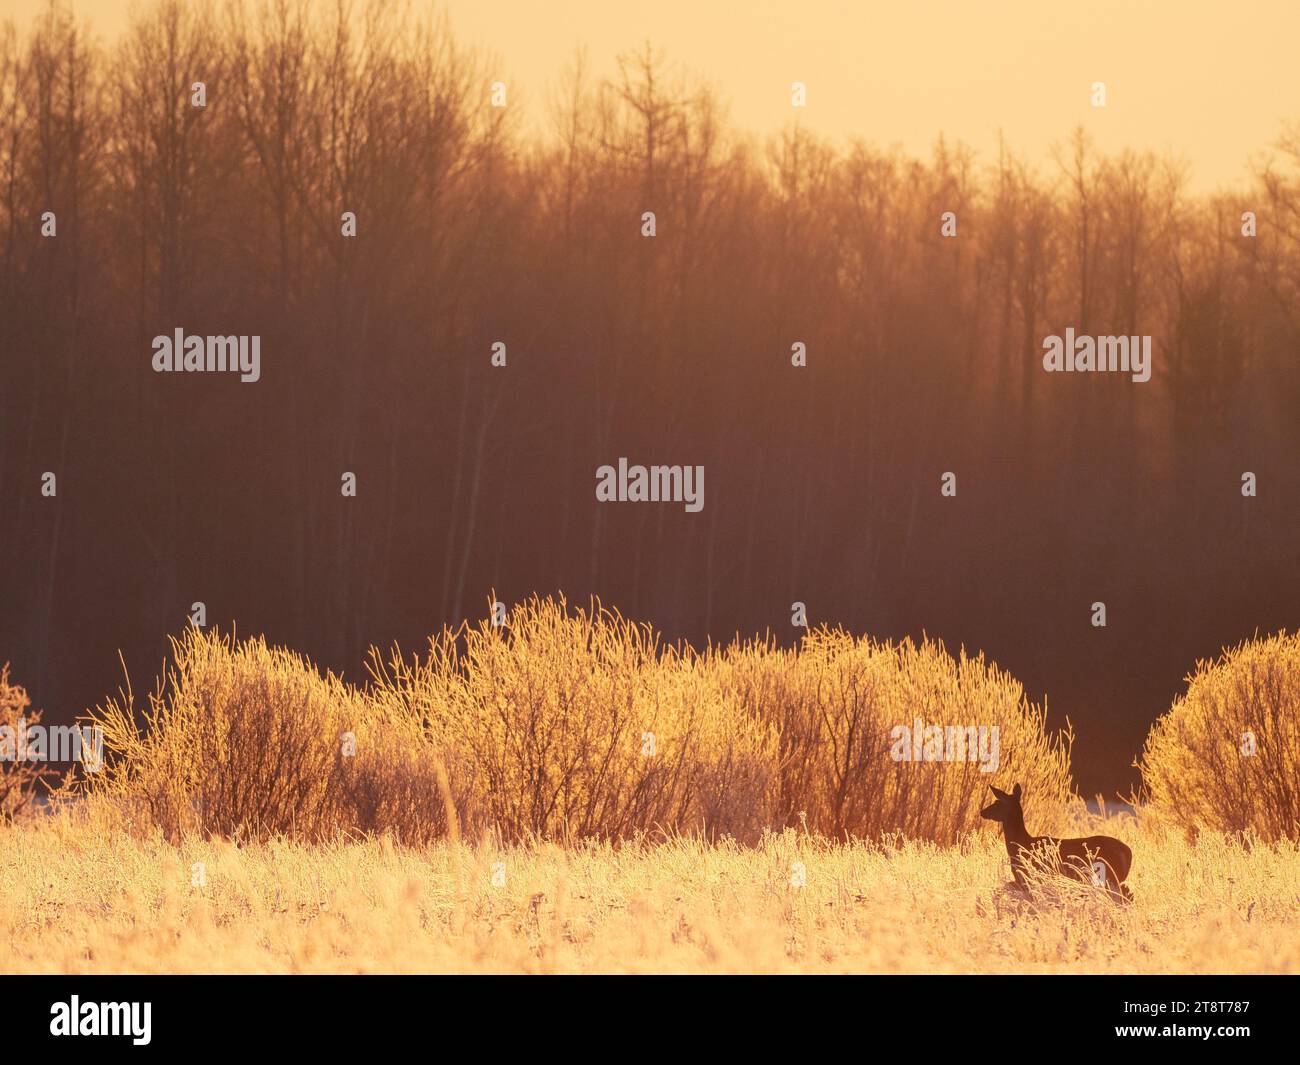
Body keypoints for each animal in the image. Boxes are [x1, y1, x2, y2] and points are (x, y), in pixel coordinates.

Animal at [980, 783, 1133, 902]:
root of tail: (1129, 852)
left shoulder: (1028, 876)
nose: (982, 812)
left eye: (998, 803)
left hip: (1110, 875)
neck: (1021, 843)